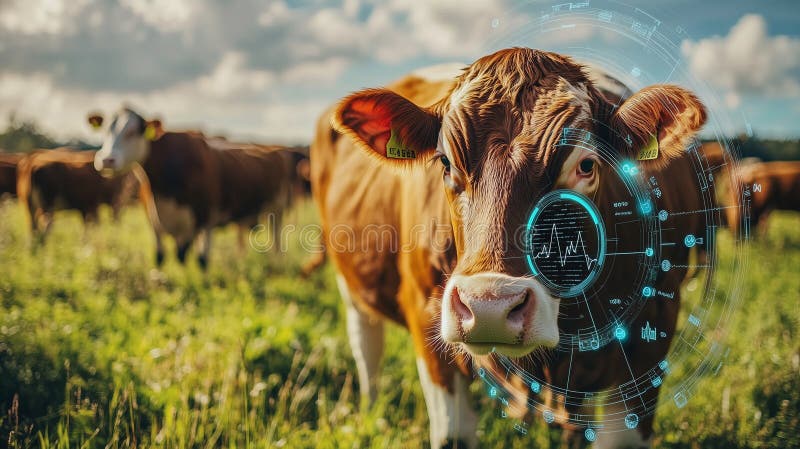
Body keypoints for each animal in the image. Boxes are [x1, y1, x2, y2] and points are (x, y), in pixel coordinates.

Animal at [89, 108, 304, 268]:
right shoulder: (154, 220)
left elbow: (201, 259)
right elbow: (163, 257)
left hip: (277, 208)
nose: (106, 160)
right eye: (105, 131)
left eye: (132, 132)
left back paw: (276, 262)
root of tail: (273, 149)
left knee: (276, 240)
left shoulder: (206, 218)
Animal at [311, 48, 708, 448]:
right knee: (366, 344)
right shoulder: (428, 314)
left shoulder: (655, 325)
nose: (489, 306)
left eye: (586, 165)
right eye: (445, 163)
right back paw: (369, 411)